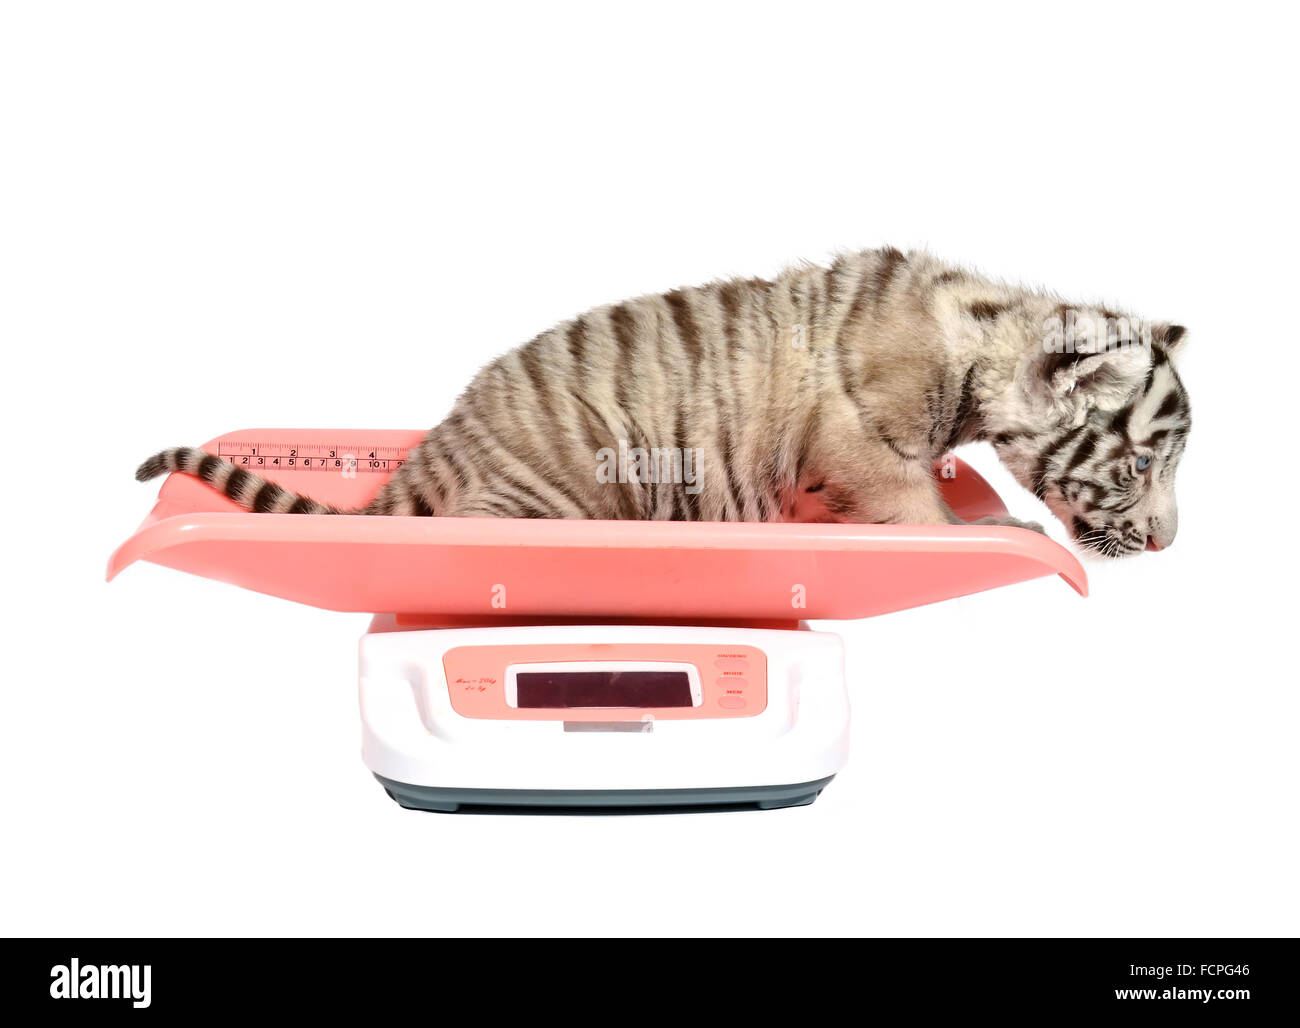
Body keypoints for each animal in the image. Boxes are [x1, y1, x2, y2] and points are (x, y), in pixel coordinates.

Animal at [136, 248, 1191, 558]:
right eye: (1142, 462)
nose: (1167, 542)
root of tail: (445, 438)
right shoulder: (868, 449)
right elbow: (919, 511)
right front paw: (994, 532)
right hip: (554, 494)